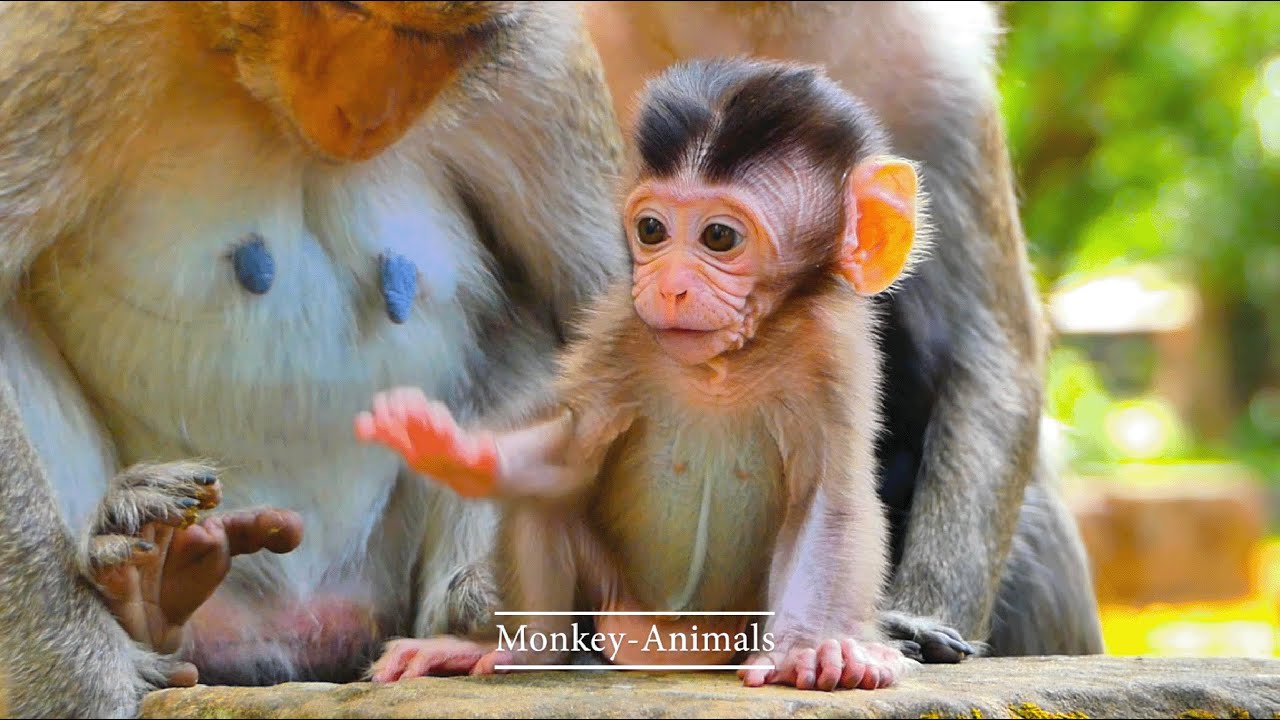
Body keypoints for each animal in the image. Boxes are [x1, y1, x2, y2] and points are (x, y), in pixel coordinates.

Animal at [0, 1, 627, 715]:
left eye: (435, 43)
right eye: (346, 13)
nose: (366, 118)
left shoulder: (545, 65)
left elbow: (607, 302)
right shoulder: (70, 38)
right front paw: (81, 677)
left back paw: (472, 638)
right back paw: (149, 593)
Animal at [355, 57, 932, 692]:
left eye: (719, 236)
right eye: (652, 230)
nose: (669, 285)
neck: (722, 367)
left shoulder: (831, 352)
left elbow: (827, 500)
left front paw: (812, 650)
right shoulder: (619, 336)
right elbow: (570, 457)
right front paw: (460, 451)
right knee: (547, 502)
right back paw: (513, 650)